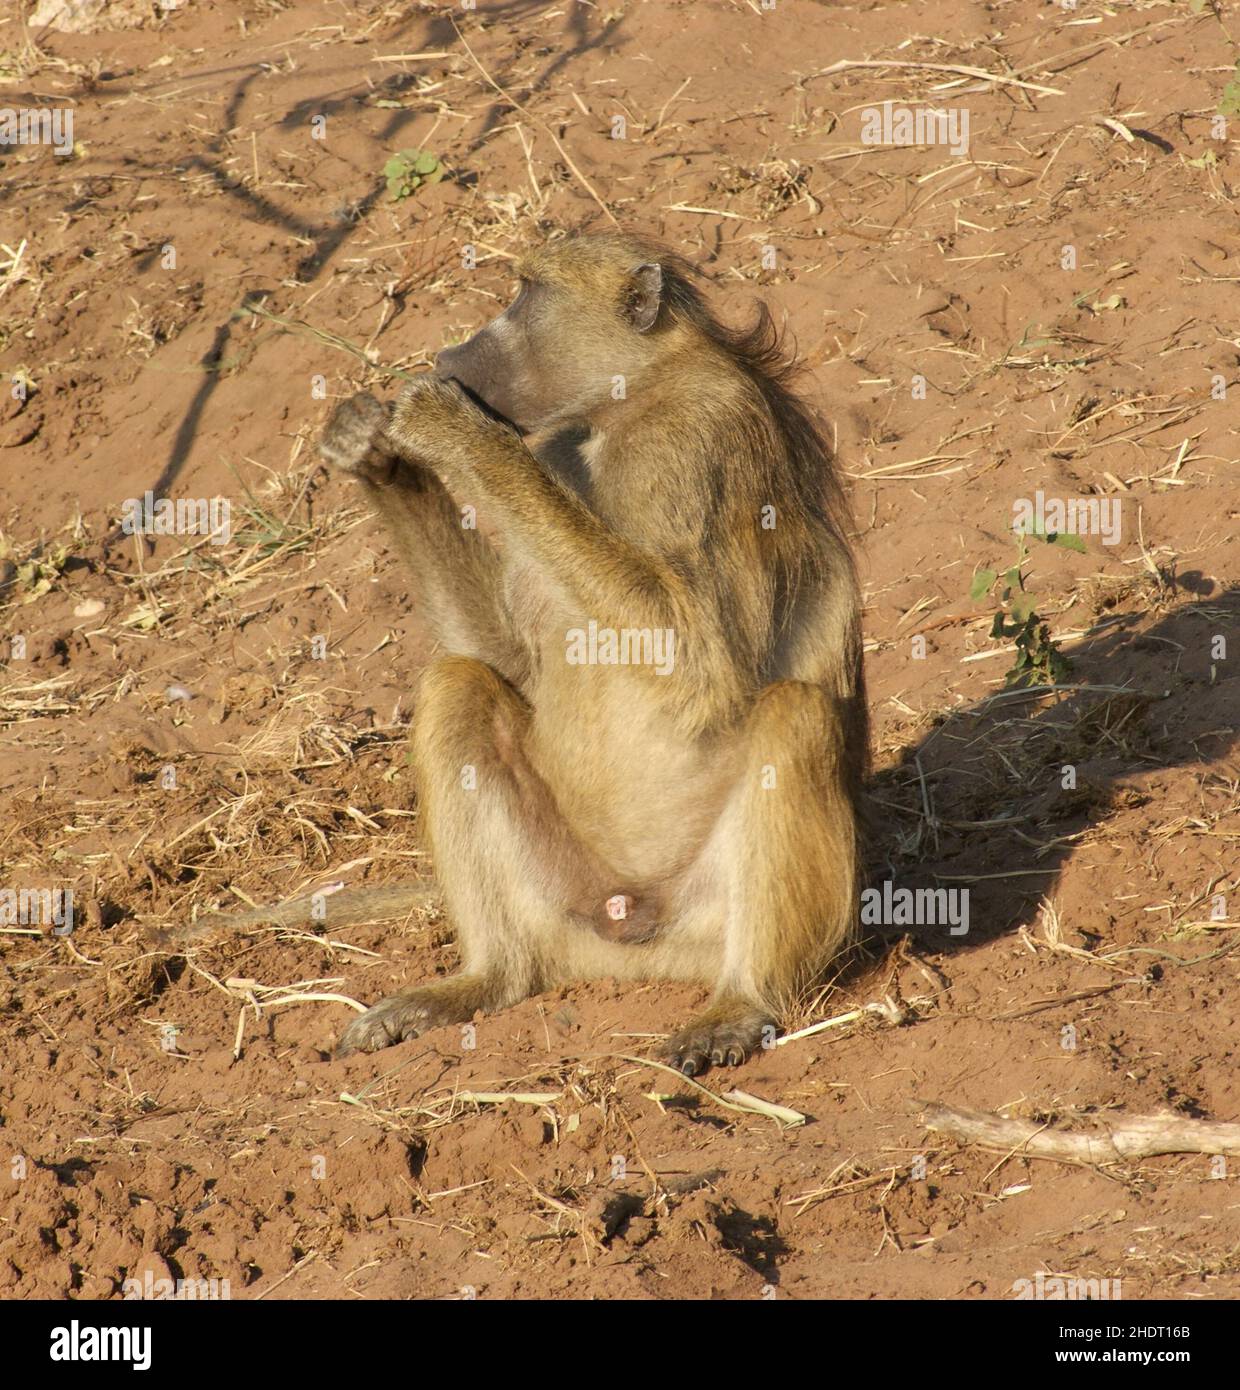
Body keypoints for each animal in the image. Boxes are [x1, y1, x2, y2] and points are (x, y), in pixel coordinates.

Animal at [186, 232, 866, 1075]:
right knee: (457, 687)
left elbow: (705, 661)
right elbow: (507, 659)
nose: (452, 351)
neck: (630, 399)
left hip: (710, 911)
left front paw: (456, 432)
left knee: (792, 713)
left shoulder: (703, 440)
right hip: (567, 902)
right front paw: (375, 453)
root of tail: (638, 938)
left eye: (523, 293)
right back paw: (479, 981)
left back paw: (743, 1003)